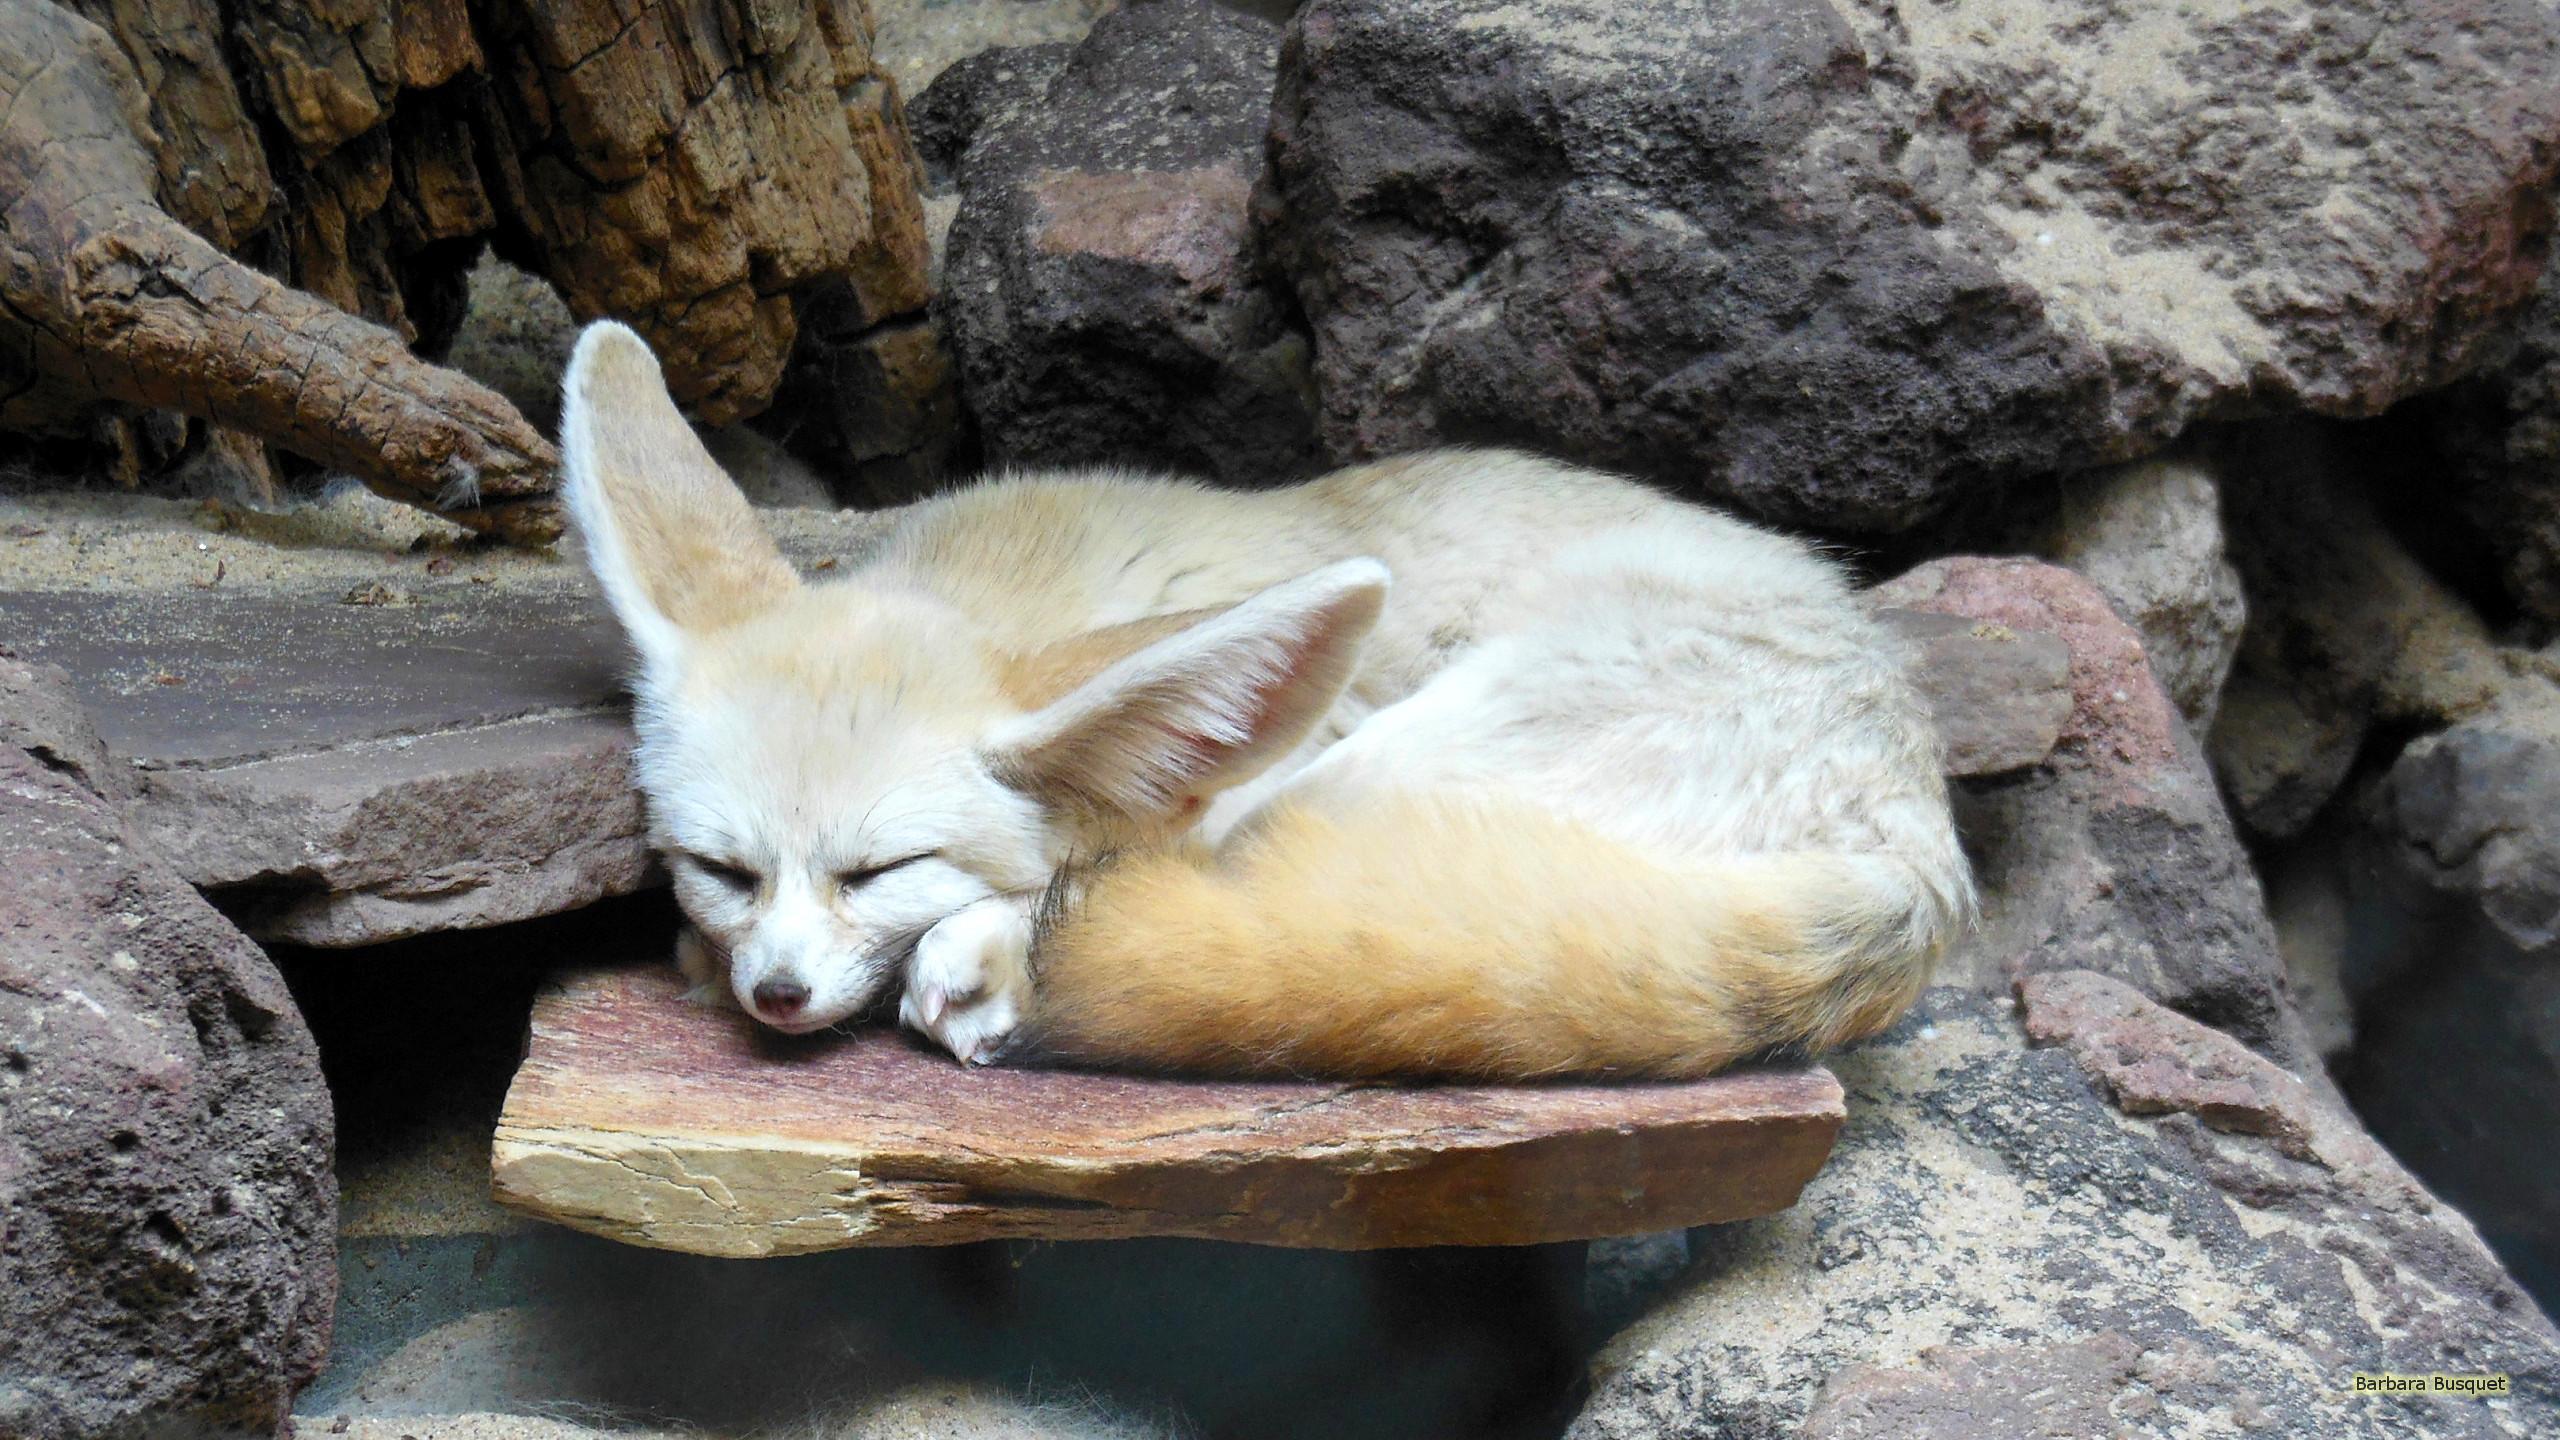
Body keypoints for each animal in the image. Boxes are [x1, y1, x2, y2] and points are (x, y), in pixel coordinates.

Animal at [558, 320, 1972, 1078]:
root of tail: (1920, 839)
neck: (1014, 576)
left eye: (882, 869)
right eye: (719, 868)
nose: (777, 995)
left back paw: (999, 961)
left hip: (1399, 748)